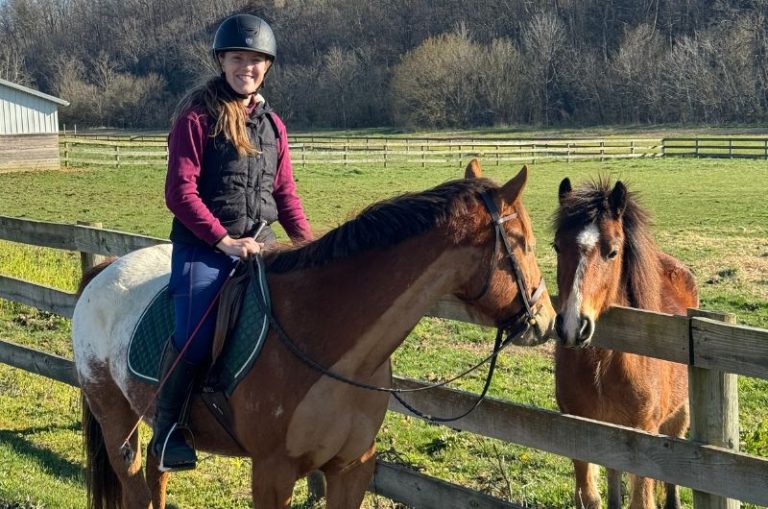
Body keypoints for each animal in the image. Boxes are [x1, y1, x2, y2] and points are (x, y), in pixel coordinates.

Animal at [72, 163, 556, 509]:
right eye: (523, 242)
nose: (548, 321)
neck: (331, 344)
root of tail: (105, 270)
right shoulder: (272, 474)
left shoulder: (352, 467)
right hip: (116, 421)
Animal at [552, 177, 698, 509]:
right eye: (556, 246)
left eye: (613, 252)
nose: (572, 327)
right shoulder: (577, 429)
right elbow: (590, 497)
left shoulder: (642, 437)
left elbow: (641, 500)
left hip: (678, 414)